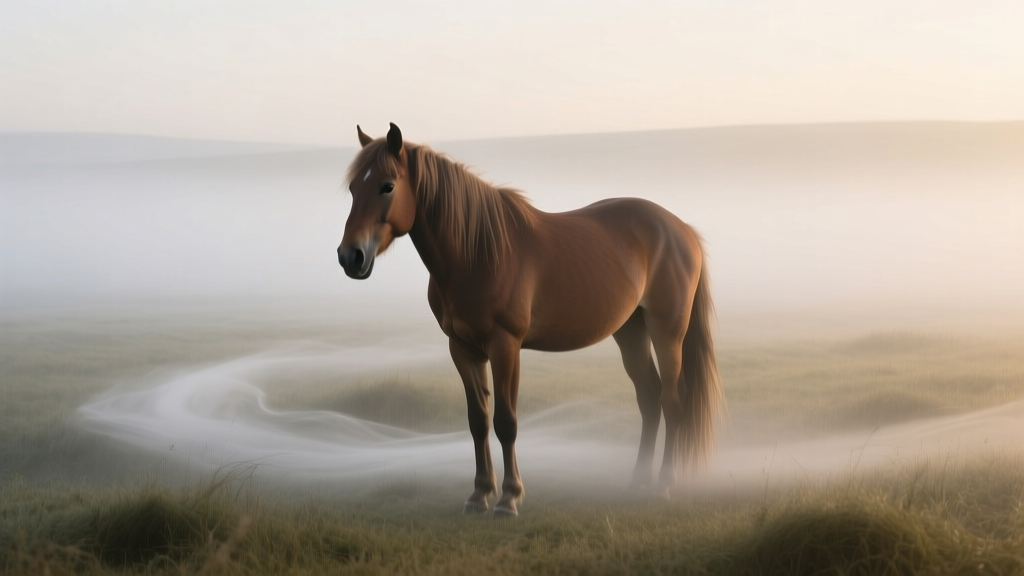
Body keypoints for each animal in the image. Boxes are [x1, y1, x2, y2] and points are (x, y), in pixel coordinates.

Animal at [337, 123, 723, 517]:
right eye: (353, 188)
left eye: (387, 186)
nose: (350, 256)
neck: (477, 253)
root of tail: (682, 229)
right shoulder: (462, 349)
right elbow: (478, 421)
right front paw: (479, 495)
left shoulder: (506, 346)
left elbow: (506, 422)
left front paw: (509, 498)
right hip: (631, 332)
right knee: (649, 399)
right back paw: (637, 482)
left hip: (667, 332)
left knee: (672, 402)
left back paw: (662, 486)